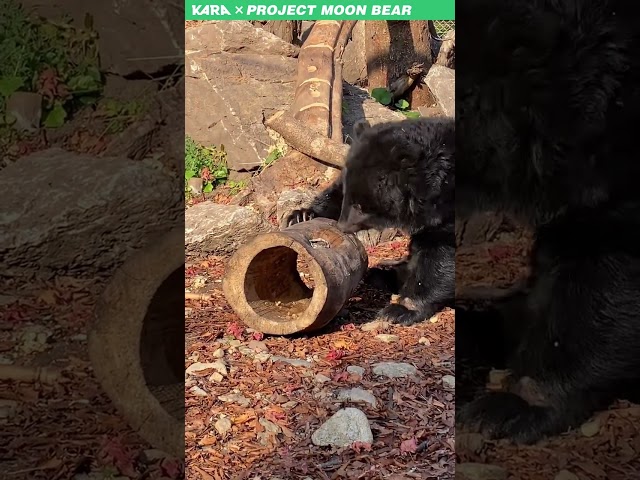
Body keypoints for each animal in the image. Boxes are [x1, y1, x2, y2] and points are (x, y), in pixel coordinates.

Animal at [287, 116, 456, 326]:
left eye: (360, 206)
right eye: (347, 196)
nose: (343, 226)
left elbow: (440, 254)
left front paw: (401, 309)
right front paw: (301, 215)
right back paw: (381, 273)